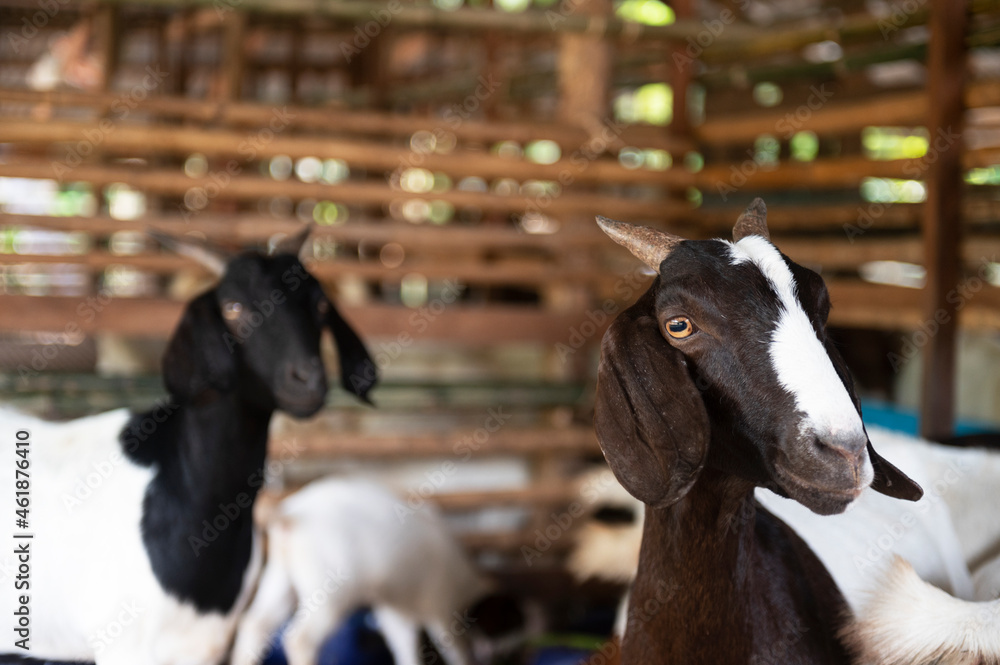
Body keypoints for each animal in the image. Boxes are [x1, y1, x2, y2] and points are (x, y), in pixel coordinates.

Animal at [231, 477, 490, 665]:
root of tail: (290, 515)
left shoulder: (394, 611)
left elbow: (404, 646)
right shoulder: (439, 608)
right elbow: (454, 650)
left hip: (281, 579)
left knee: (255, 625)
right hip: (328, 592)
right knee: (299, 639)